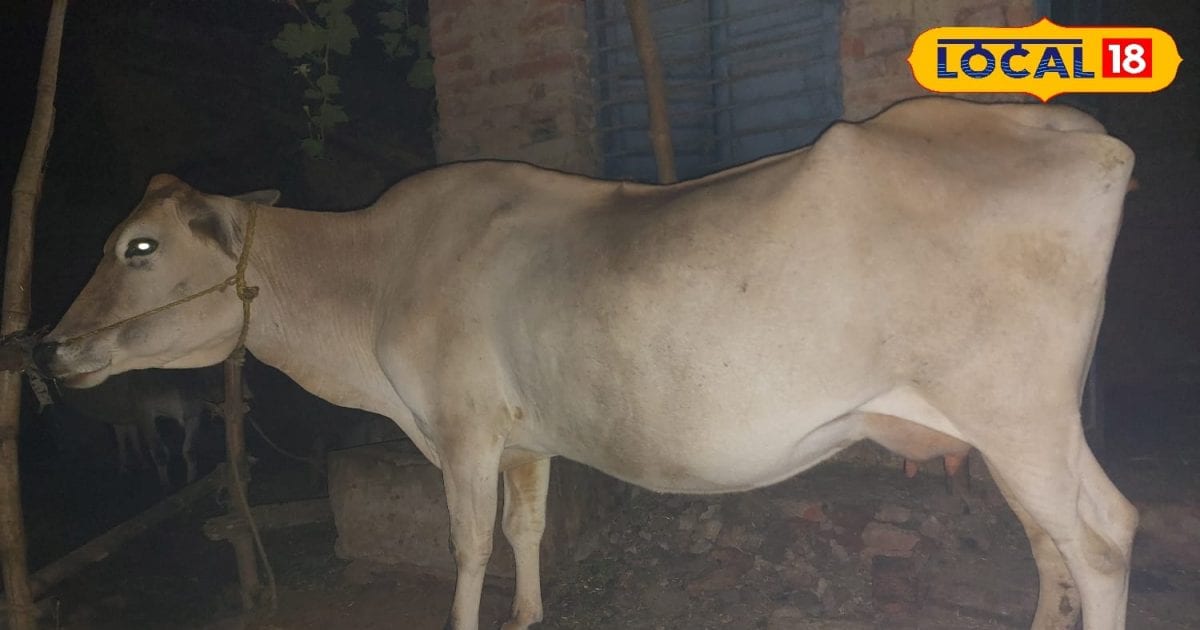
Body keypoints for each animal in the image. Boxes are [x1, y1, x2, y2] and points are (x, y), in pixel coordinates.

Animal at [34, 97, 1137, 630]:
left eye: (137, 246)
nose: (48, 348)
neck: (374, 277)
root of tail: (1068, 126)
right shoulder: (527, 440)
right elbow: (525, 535)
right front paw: (528, 616)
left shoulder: (463, 430)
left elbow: (467, 546)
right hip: (1014, 424)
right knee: (1068, 533)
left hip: (1018, 412)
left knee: (1098, 542)